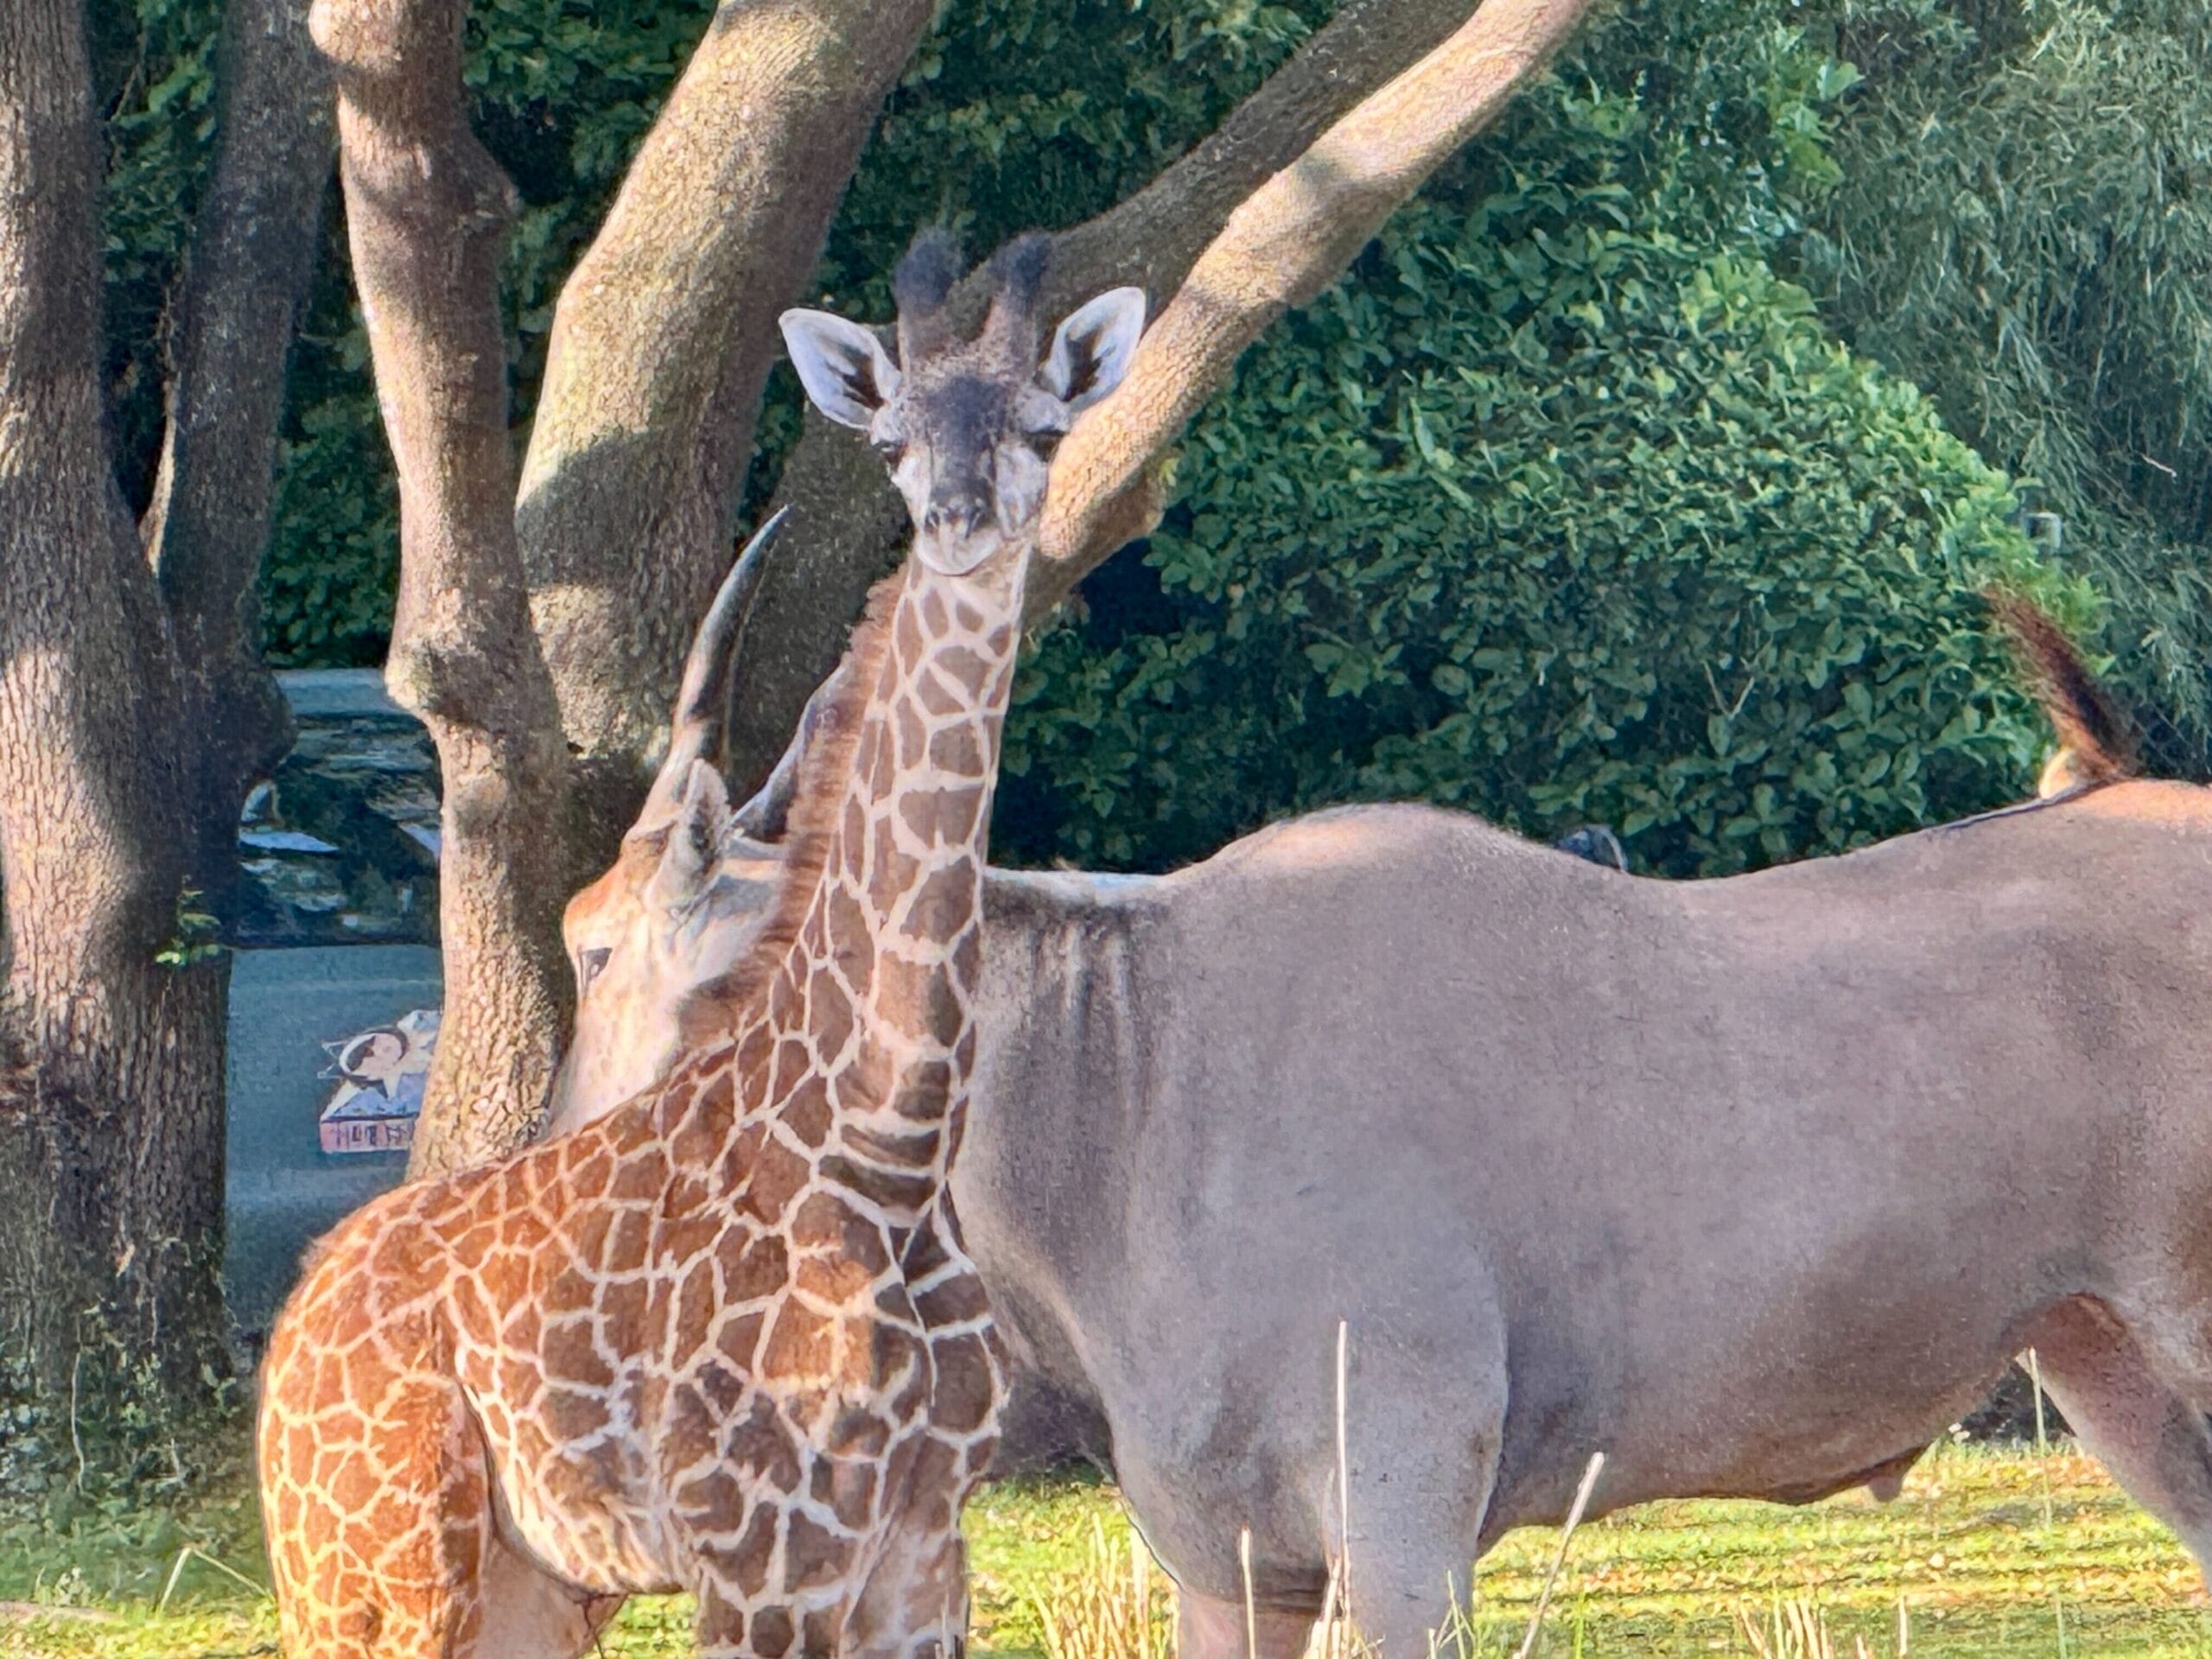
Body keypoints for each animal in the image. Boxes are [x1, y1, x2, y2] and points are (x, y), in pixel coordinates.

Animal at [254, 230, 1147, 1659]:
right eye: (890, 441)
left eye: (1044, 427)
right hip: (371, 1573)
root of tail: (290, 1327)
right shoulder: (761, 1559)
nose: (960, 525)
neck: (888, 1153)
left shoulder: (922, 1549)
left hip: (531, 1587)